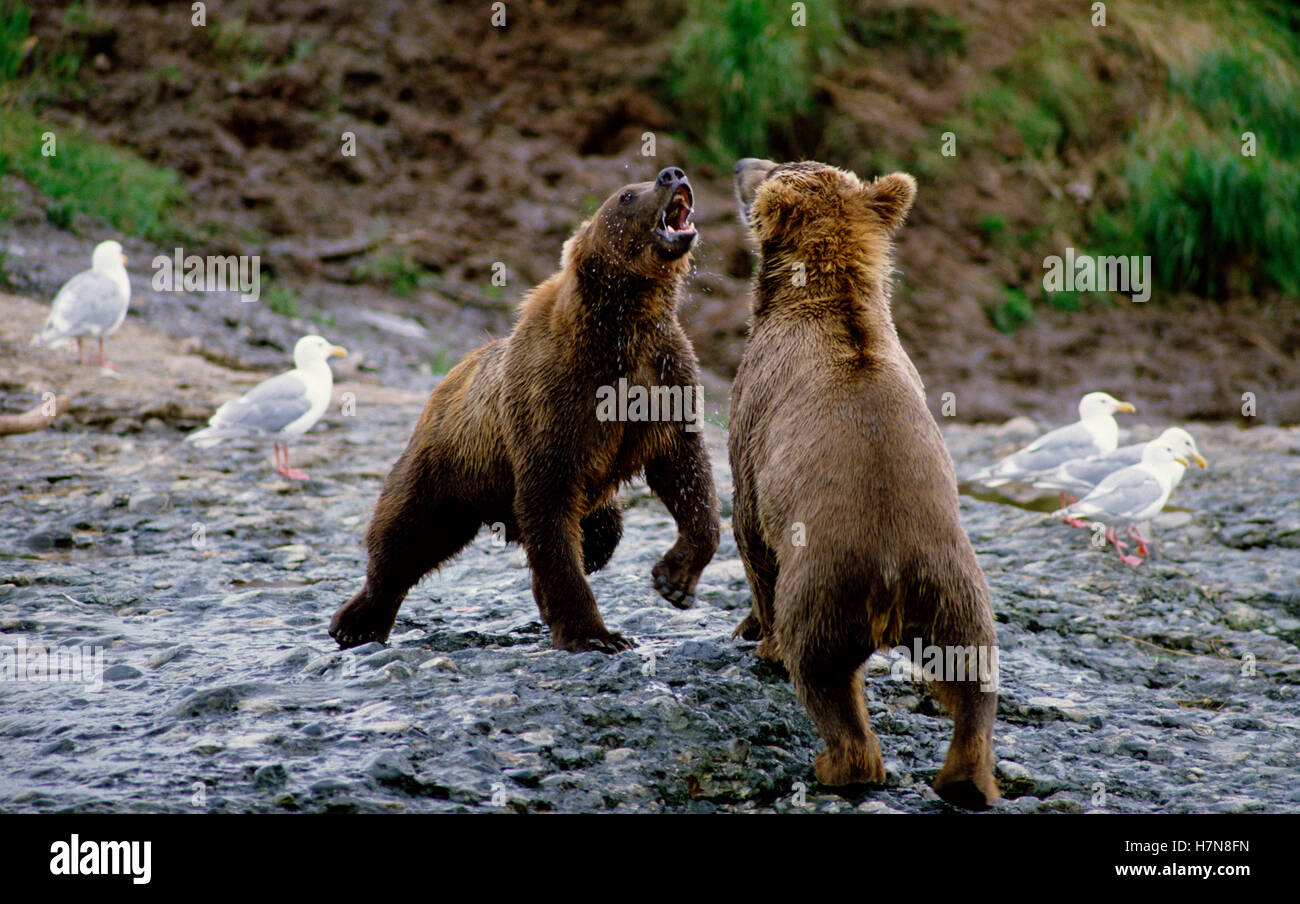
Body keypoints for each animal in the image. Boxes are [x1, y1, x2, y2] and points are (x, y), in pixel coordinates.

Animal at [330, 167, 720, 654]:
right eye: (627, 196)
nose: (672, 174)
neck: (623, 324)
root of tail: (442, 384)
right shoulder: (552, 400)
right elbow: (548, 505)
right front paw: (598, 634)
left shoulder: (664, 375)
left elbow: (686, 468)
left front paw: (675, 579)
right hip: (448, 465)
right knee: (405, 533)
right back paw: (356, 621)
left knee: (603, 528)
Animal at [728, 158, 999, 809]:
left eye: (773, 167)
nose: (742, 164)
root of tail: (895, 574)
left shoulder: (754, 418)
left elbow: (750, 535)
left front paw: (755, 632)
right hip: (955, 582)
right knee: (974, 673)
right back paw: (967, 779)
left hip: (826, 581)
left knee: (822, 672)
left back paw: (837, 762)